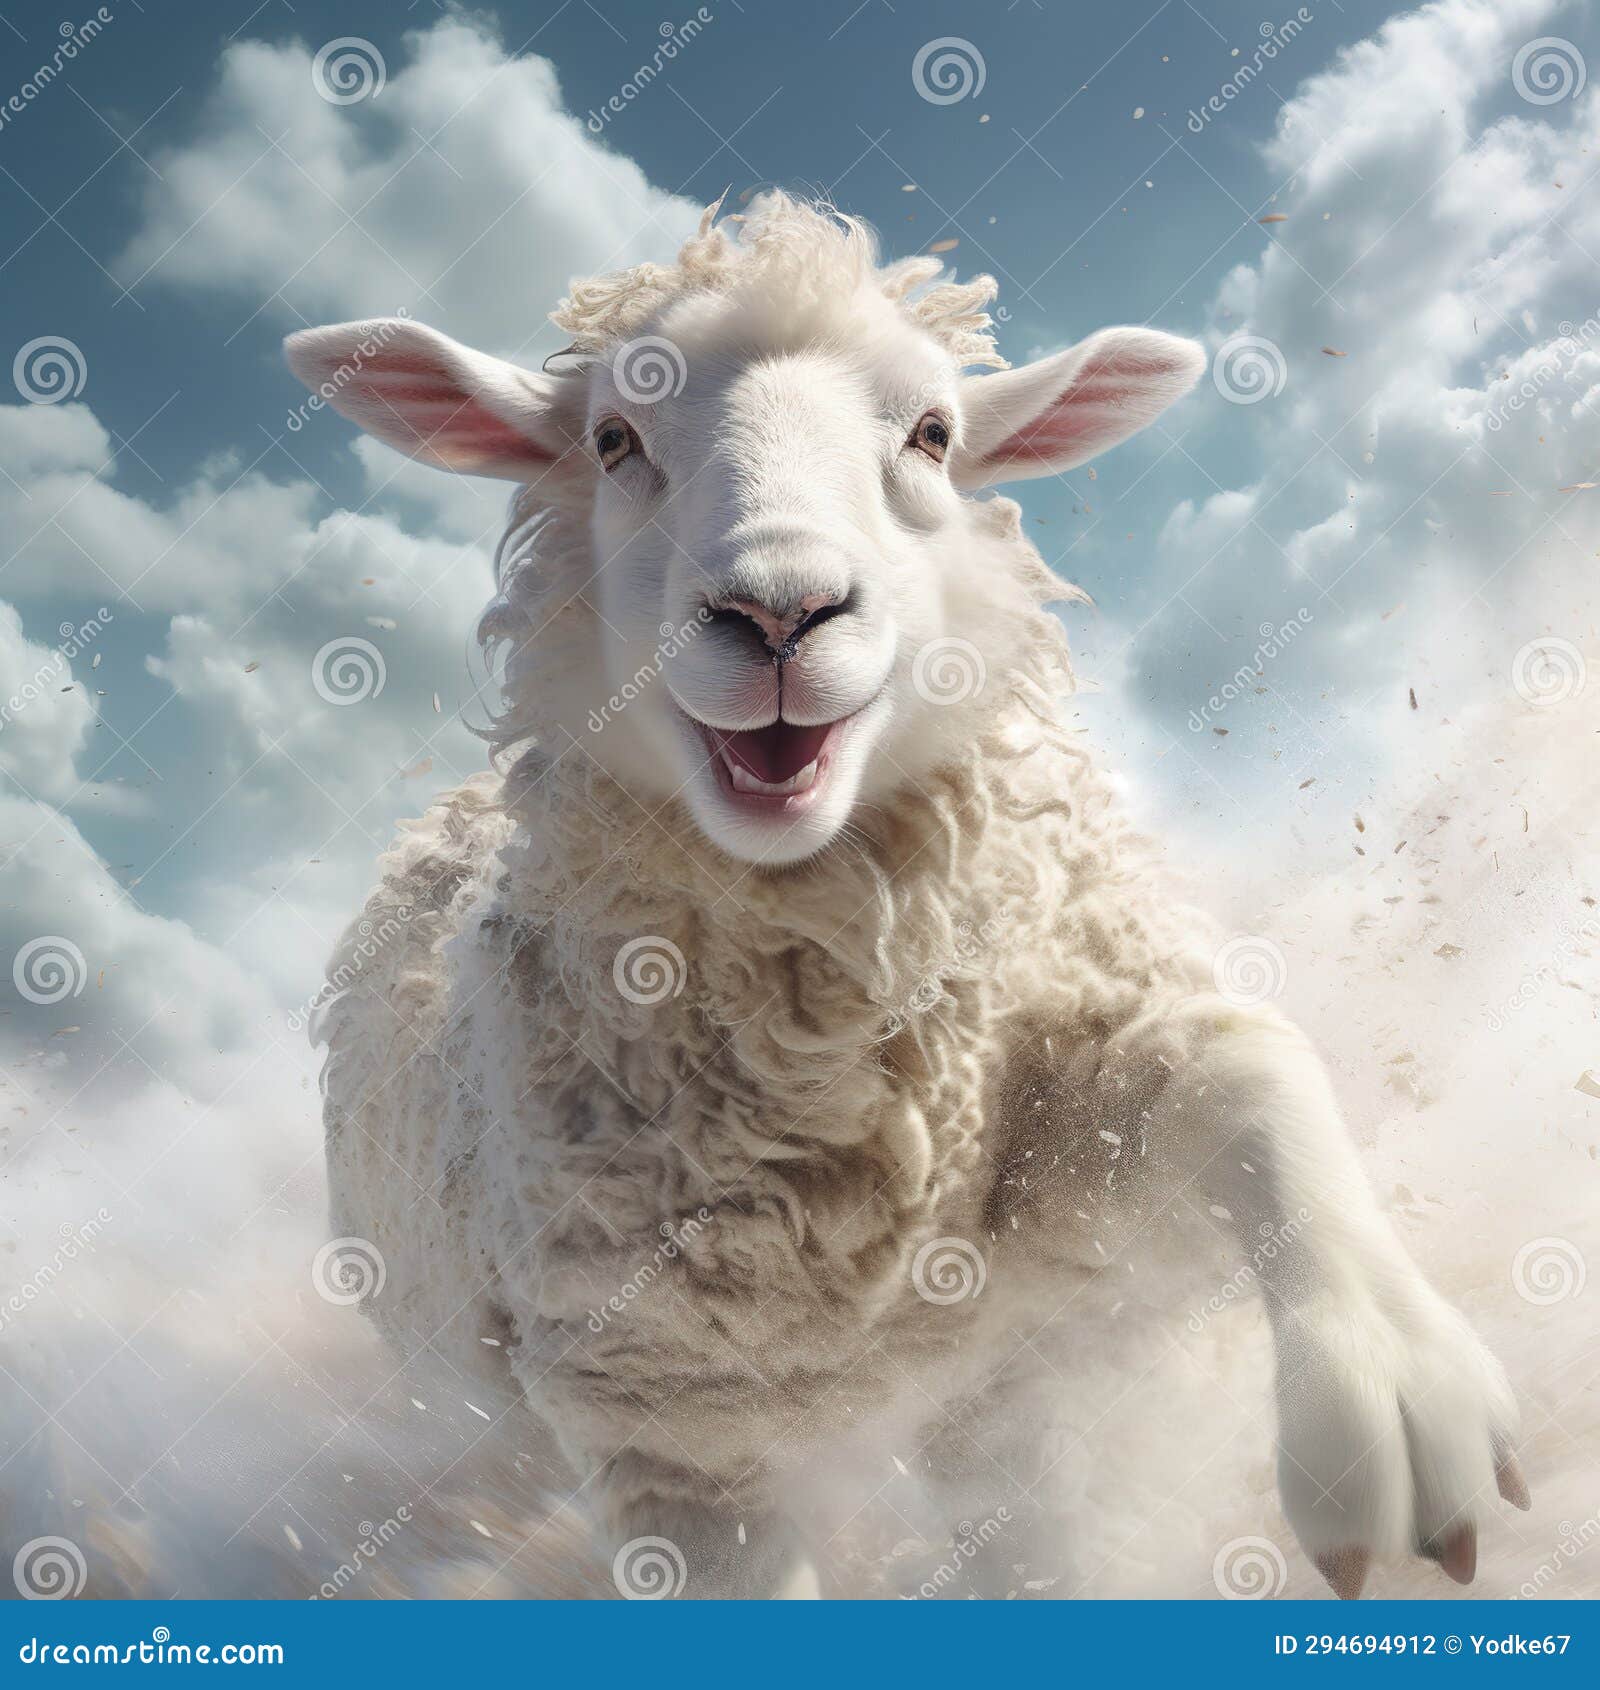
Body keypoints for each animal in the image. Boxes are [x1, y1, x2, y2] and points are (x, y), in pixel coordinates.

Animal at [286, 193, 1528, 1600]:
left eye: (934, 433)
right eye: (612, 439)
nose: (779, 612)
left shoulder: (1078, 1074)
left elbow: (1245, 1069)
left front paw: (1385, 1389)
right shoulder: (664, 1424)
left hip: (982, 1377)